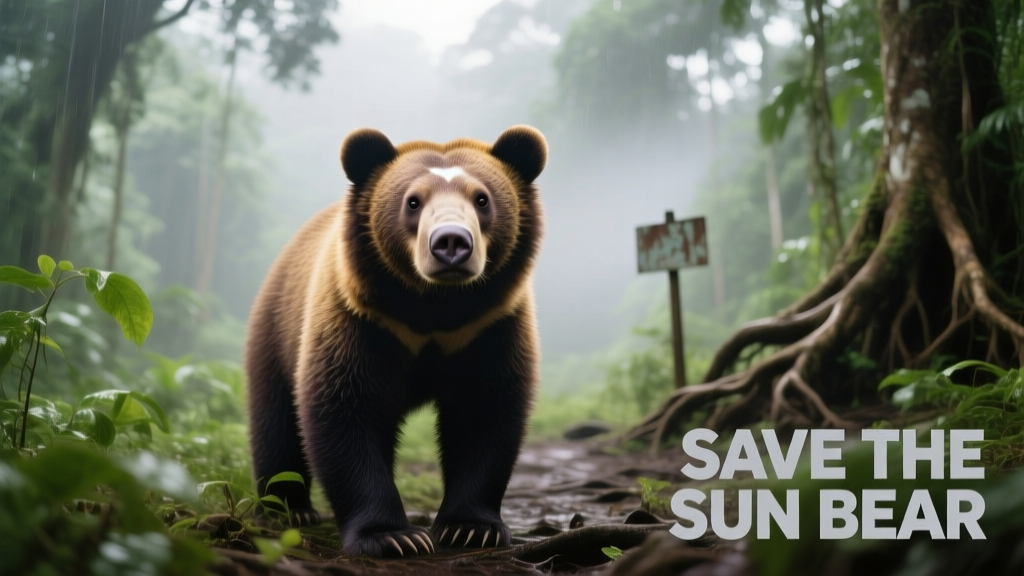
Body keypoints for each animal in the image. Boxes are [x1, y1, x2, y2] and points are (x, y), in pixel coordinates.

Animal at [244, 125, 546, 558]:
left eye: (482, 198)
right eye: (413, 201)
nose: (451, 243)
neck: (432, 308)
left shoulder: (489, 326)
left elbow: (484, 412)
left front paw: (471, 528)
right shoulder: (360, 318)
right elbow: (345, 409)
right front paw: (392, 536)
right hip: (277, 328)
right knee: (275, 419)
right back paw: (287, 507)